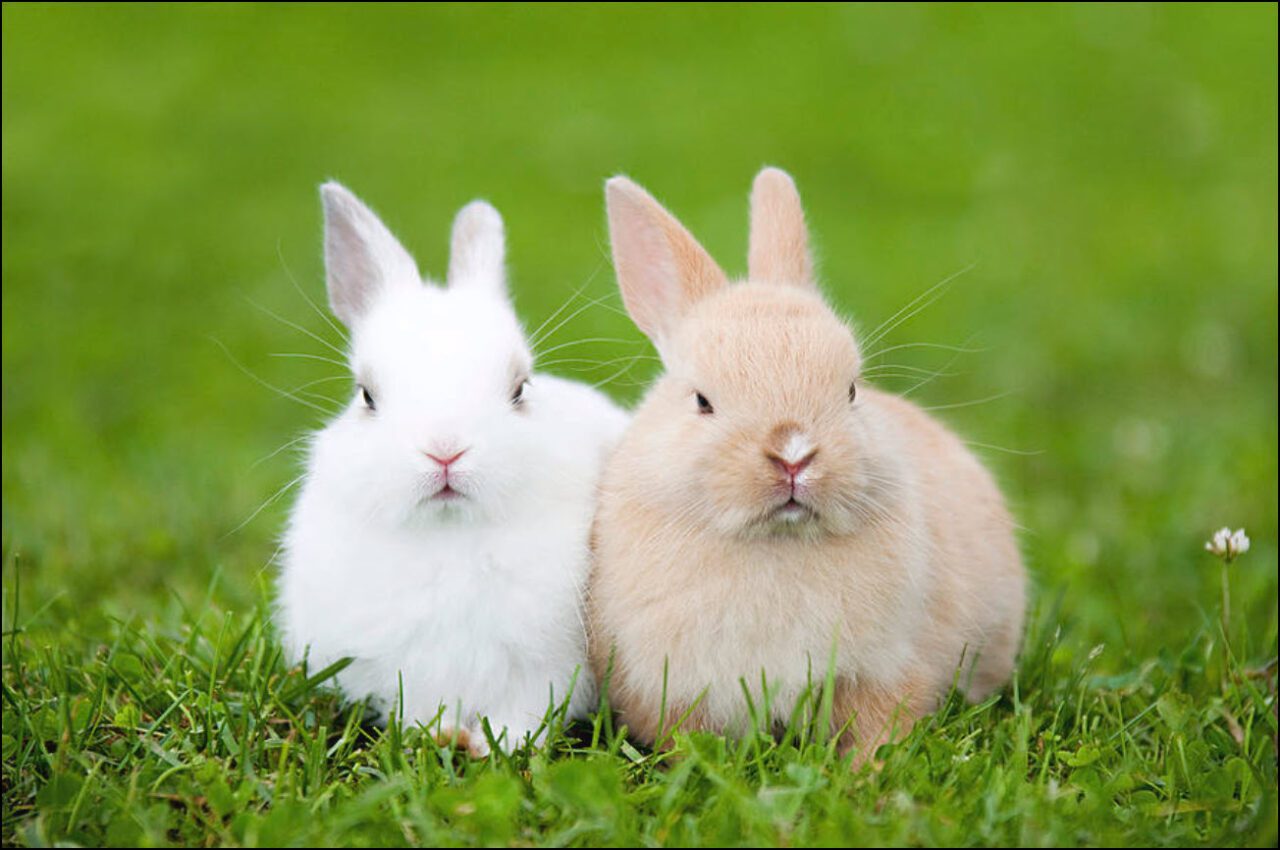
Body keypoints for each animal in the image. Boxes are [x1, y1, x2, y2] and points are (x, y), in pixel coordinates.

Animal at [277, 182, 629, 756]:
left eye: (520, 390)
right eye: (366, 396)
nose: (445, 451)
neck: (451, 535)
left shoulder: (545, 667)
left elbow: (527, 713)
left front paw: (493, 746)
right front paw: (431, 735)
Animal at [586, 167, 1026, 759]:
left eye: (851, 390)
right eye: (702, 401)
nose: (793, 453)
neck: (777, 543)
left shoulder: (887, 670)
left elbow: (879, 729)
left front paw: (867, 773)